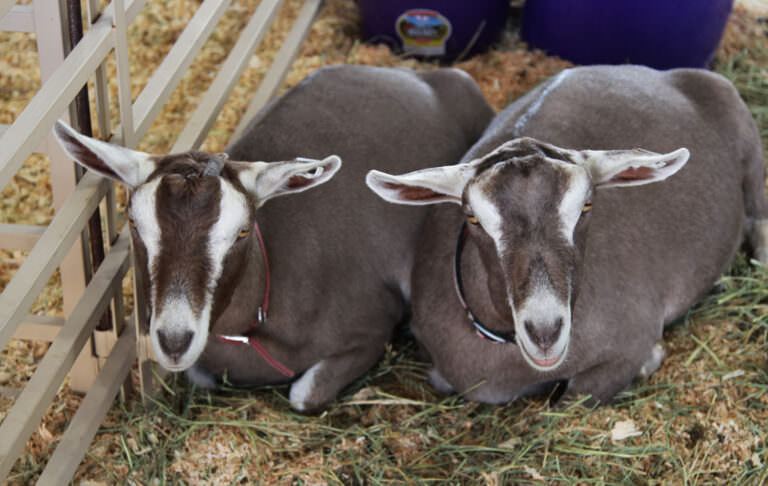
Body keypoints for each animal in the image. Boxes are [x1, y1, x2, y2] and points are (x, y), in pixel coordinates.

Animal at [54, 64, 494, 411]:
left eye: (242, 230)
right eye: (133, 223)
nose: (174, 340)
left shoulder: (370, 333)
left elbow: (304, 394)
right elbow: (201, 376)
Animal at [366, 65, 768, 404]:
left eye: (586, 205)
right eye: (473, 218)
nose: (545, 332)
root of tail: (658, 74)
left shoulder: (631, 335)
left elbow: (578, 395)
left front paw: (649, 360)